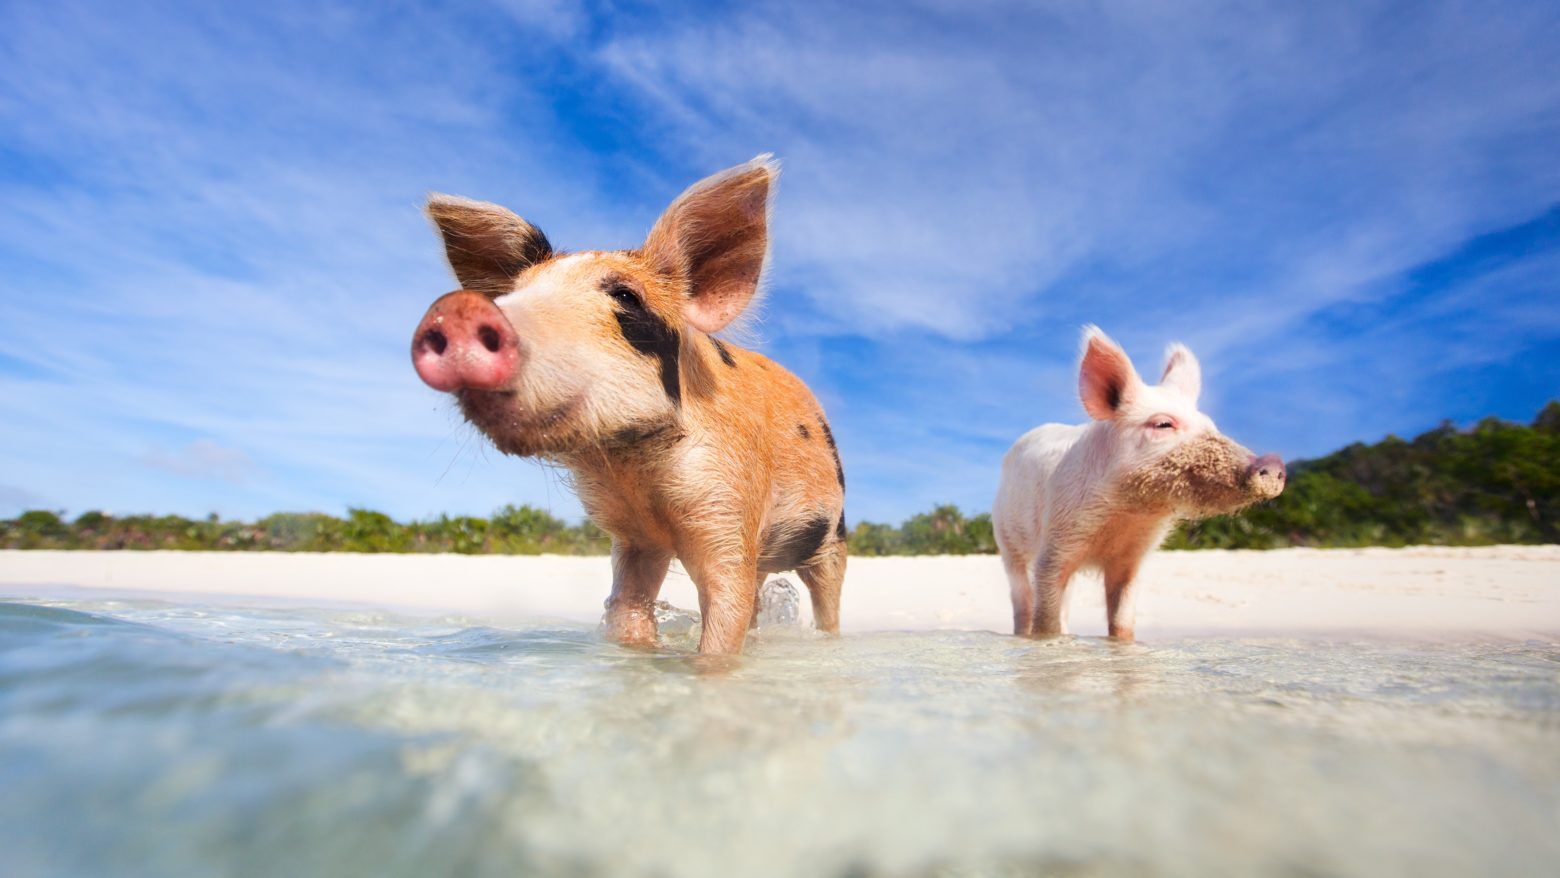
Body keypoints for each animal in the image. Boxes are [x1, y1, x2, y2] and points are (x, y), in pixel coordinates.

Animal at [410, 156, 846, 656]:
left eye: (625, 297)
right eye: (511, 293)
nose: (459, 310)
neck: (637, 471)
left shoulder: (729, 504)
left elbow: (724, 616)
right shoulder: (634, 537)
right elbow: (628, 609)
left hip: (833, 536)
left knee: (826, 599)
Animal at [992, 327, 1286, 642]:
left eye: (1211, 425)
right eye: (1163, 424)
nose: (1274, 463)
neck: (1127, 514)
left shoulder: (1133, 557)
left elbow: (1123, 619)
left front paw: (1120, 644)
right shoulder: (1056, 541)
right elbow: (1046, 619)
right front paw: (1047, 641)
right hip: (1006, 539)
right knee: (1022, 599)